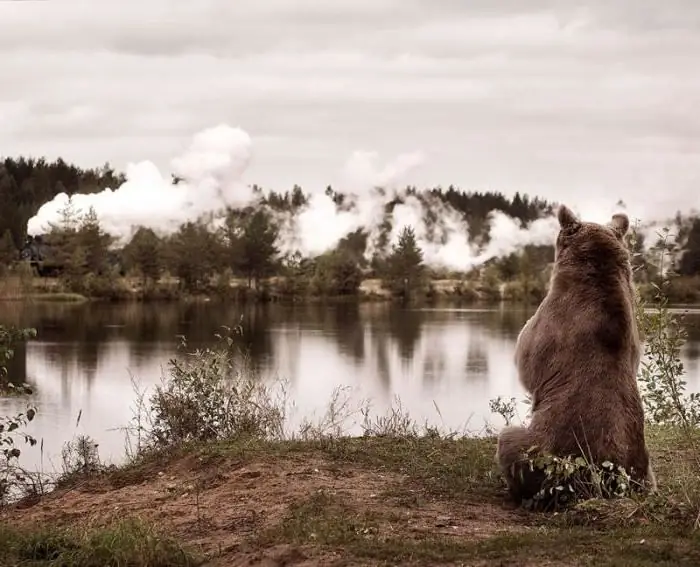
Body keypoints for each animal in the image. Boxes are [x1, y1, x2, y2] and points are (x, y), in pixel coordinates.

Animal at [498, 204, 656, 506]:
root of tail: (605, 478)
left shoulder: (547, 325)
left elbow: (527, 362)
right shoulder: (634, 344)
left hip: (544, 455)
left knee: (510, 441)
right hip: (642, 468)